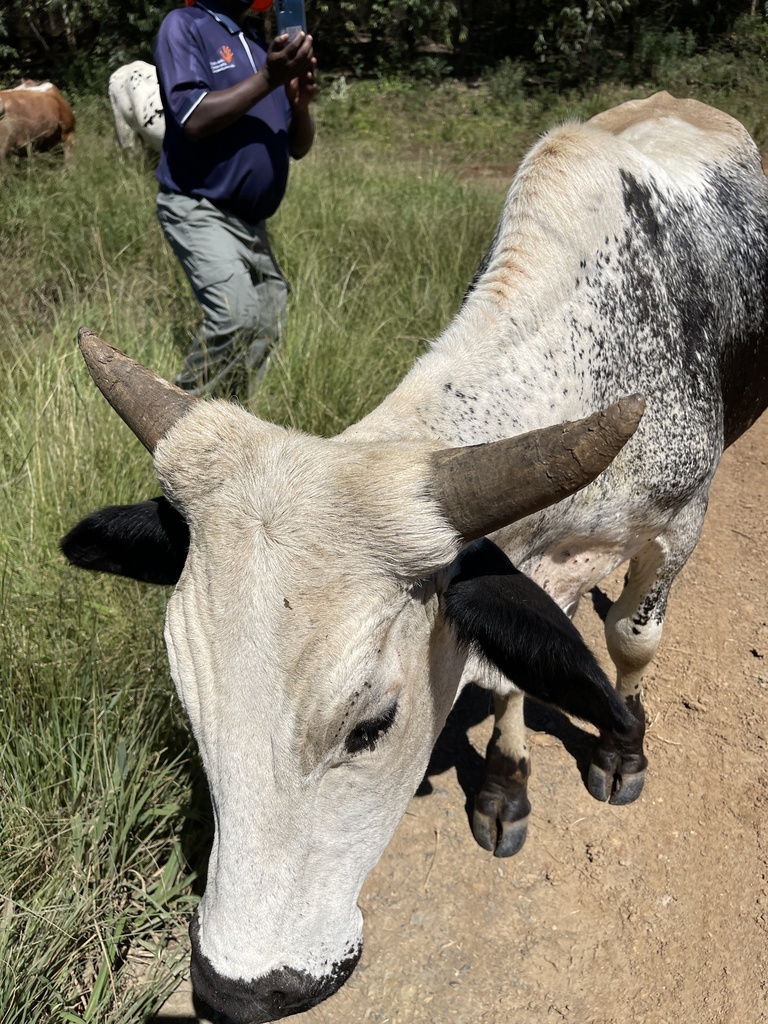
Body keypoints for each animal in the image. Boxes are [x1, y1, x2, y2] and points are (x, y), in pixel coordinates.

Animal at [60, 92, 768, 1021]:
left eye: (371, 725)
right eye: (189, 697)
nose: (232, 990)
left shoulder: (681, 523)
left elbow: (632, 639)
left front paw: (624, 748)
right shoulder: (516, 570)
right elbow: (510, 671)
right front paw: (506, 784)